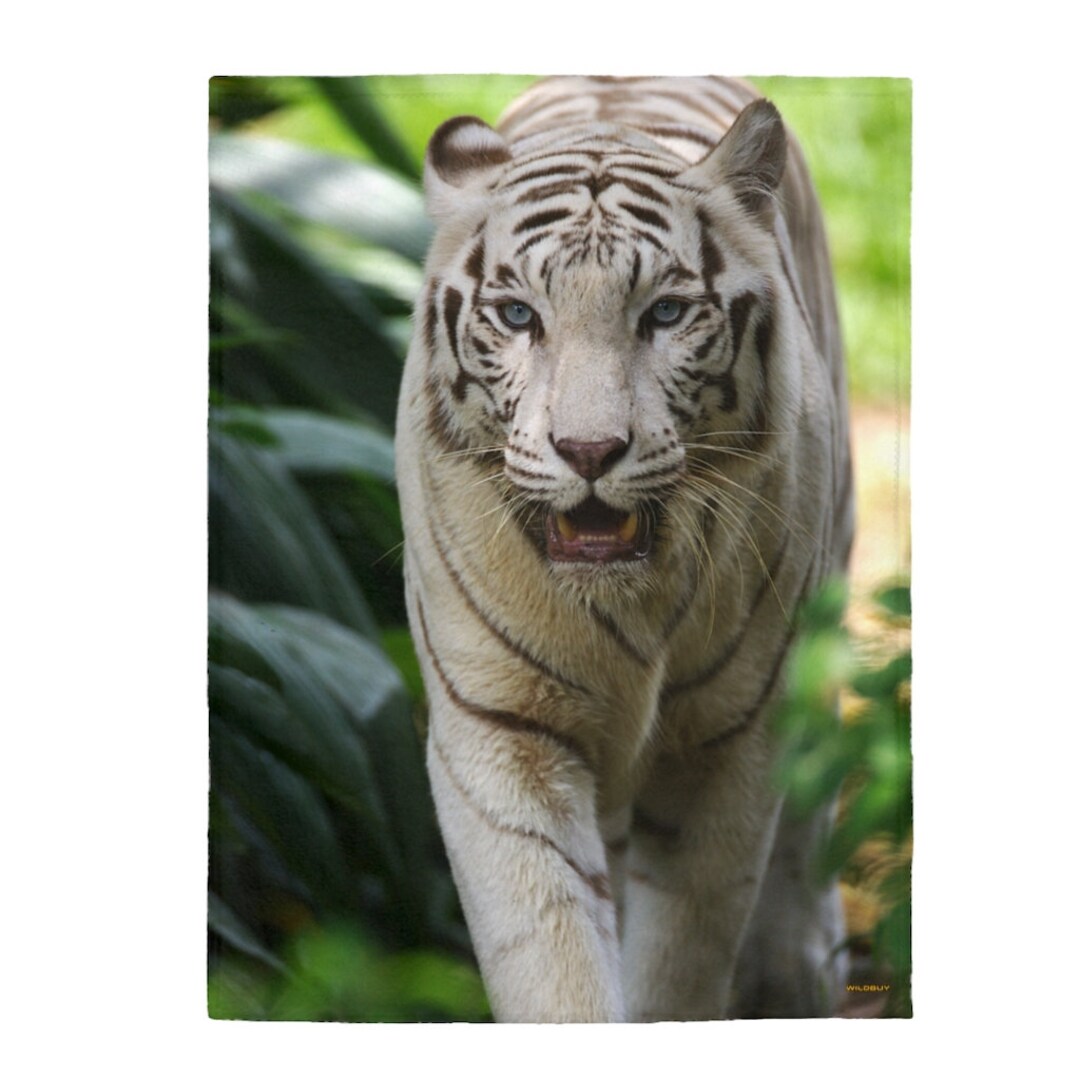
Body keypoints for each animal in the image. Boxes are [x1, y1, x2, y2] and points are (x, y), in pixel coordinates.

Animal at [394, 75, 854, 1022]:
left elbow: (682, 963)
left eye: (666, 313)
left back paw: (794, 967)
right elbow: (553, 959)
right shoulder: (502, 731)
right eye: (519, 315)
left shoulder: (728, 743)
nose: (590, 451)